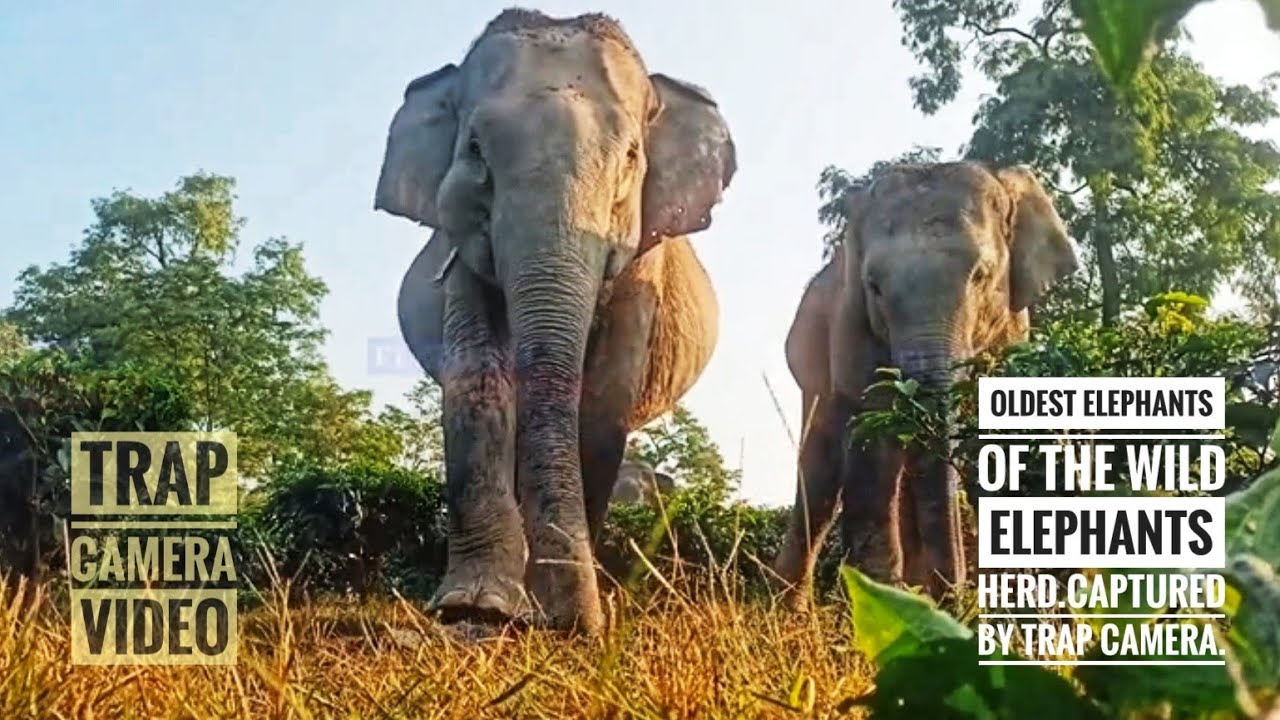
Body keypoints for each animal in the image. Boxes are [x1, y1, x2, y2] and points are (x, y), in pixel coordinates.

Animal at [375, 9, 734, 633]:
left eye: (632, 158)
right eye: (475, 148)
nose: (568, 623)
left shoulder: (643, 259)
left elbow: (605, 396)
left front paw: (568, 607)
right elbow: (476, 378)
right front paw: (475, 605)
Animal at [772, 161, 1078, 607]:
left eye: (981, 276)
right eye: (874, 287)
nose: (952, 596)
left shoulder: (1011, 334)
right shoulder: (853, 331)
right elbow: (873, 440)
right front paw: (883, 599)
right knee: (820, 473)